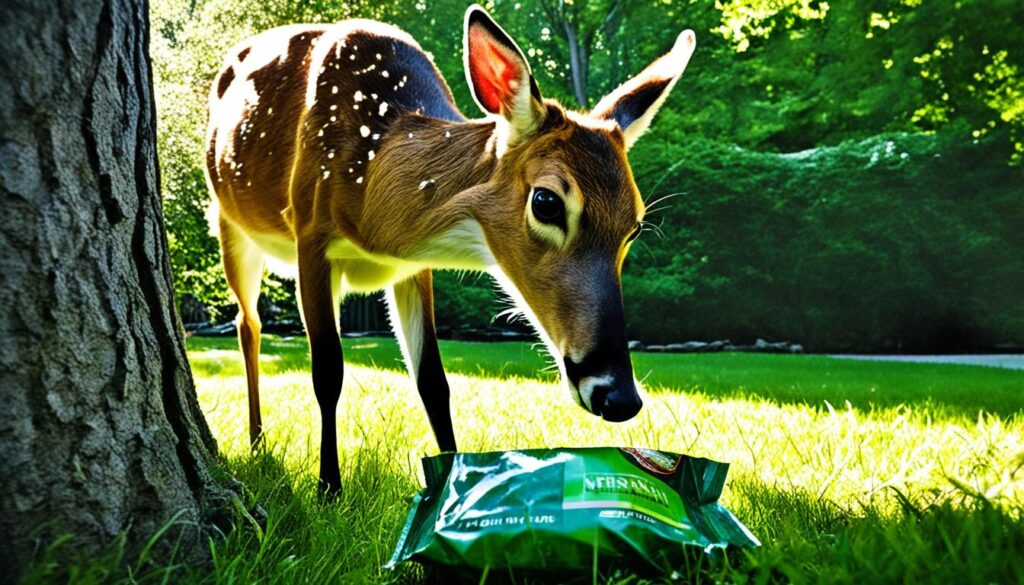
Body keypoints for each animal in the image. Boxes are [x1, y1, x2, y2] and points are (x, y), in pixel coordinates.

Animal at [204, 4, 696, 492]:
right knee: (247, 322)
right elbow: (328, 370)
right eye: (547, 202)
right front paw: (328, 488)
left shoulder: (411, 267)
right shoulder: (310, 234)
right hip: (227, 222)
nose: (620, 397)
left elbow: (433, 382)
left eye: (634, 226)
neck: (370, 187)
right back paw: (256, 442)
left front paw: (454, 476)